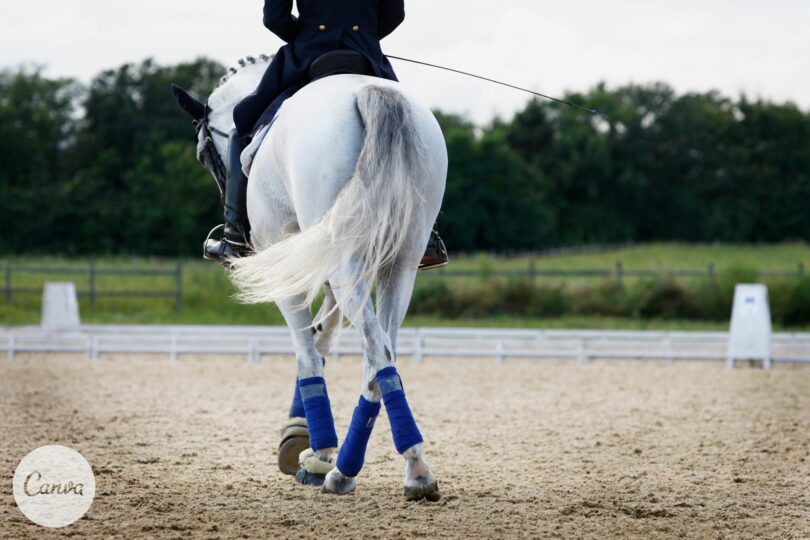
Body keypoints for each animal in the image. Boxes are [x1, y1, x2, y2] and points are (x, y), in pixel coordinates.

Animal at [172, 55, 447, 501]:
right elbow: (324, 335)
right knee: (381, 353)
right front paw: (305, 441)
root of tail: (371, 93)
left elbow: (306, 352)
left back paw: (385, 470)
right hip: (400, 264)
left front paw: (313, 449)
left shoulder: (291, 266)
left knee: (375, 348)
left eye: (202, 154)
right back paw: (368, 470)